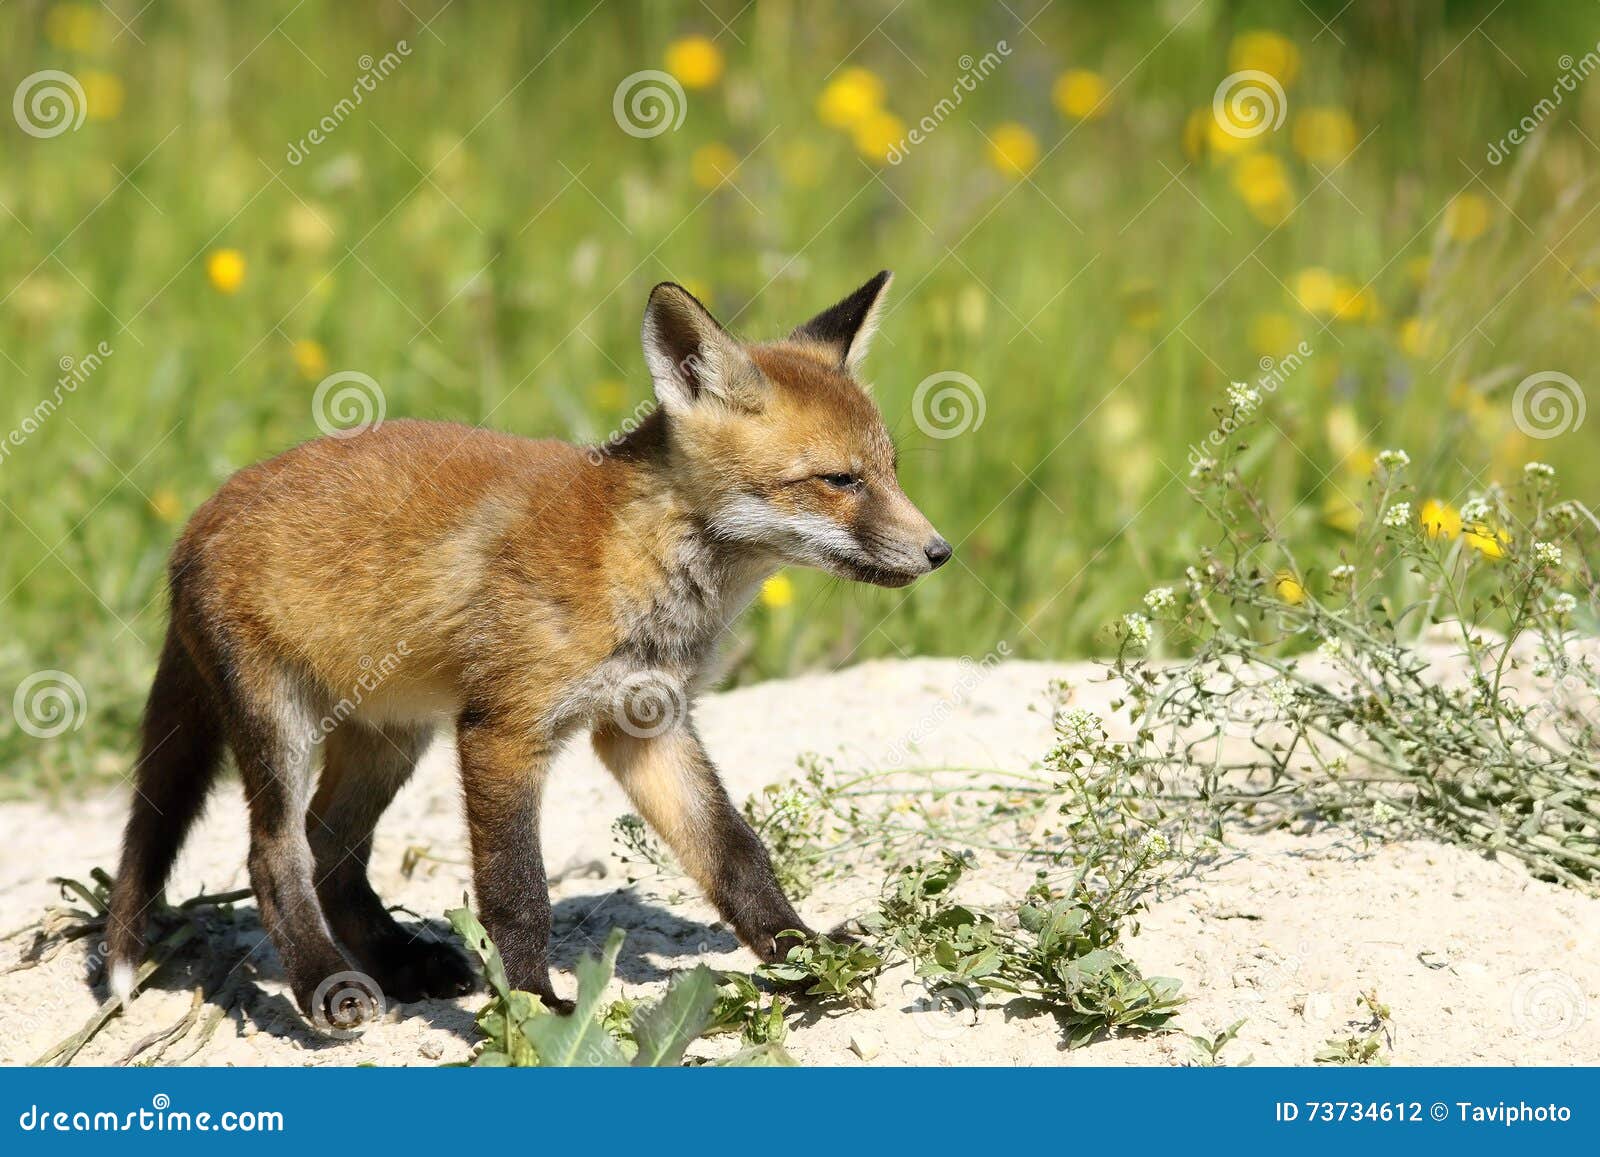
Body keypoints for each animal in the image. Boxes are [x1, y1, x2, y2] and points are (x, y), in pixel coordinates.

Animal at [104, 271, 951, 1029]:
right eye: (839, 479)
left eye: (891, 471)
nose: (939, 551)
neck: (634, 561)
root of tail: (199, 515)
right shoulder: (503, 731)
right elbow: (518, 892)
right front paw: (534, 1003)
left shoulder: (648, 724)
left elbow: (736, 854)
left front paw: (801, 953)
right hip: (279, 723)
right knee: (275, 857)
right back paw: (325, 983)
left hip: (390, 738)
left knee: (329, 851)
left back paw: (400, 961)